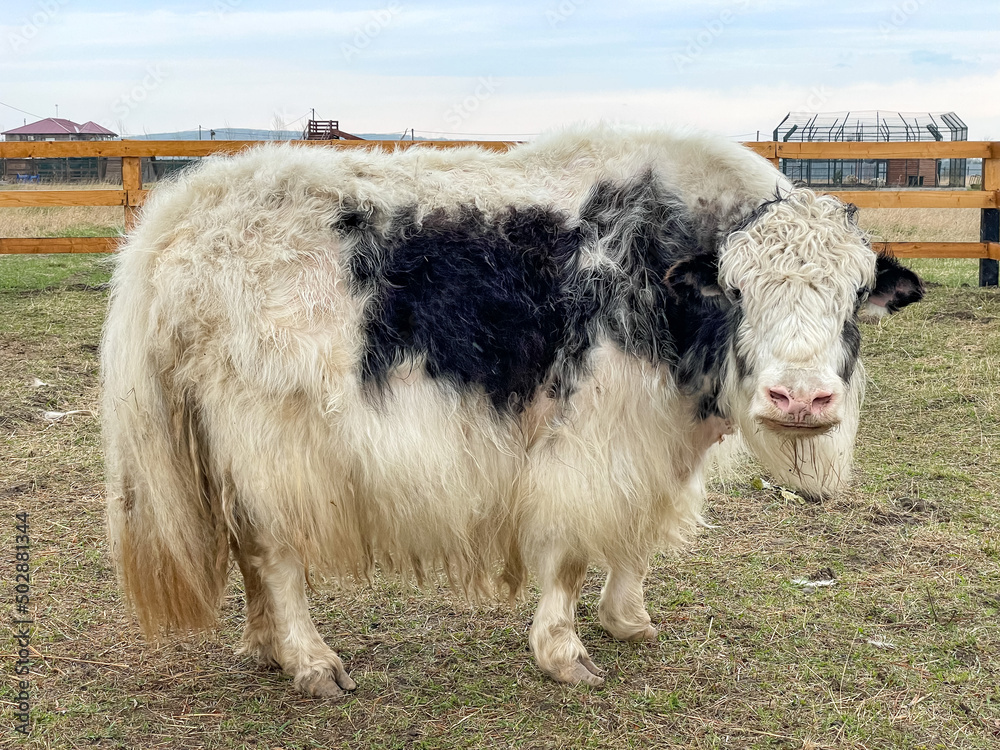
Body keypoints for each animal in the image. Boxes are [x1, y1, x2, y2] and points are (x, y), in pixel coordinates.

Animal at [101, 128, 923, 697]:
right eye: (738, 290)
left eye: (854, 295)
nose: (800, 399)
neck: (665, 270)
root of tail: (178, 219)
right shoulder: (591, 439)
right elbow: (572, 551)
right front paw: (566, 654)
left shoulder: (654, 443)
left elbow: (636, 534)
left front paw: (629, 621)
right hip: (269, 440)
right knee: (274, 552)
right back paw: (312, 662)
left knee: (246, 548)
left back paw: (263, 648)